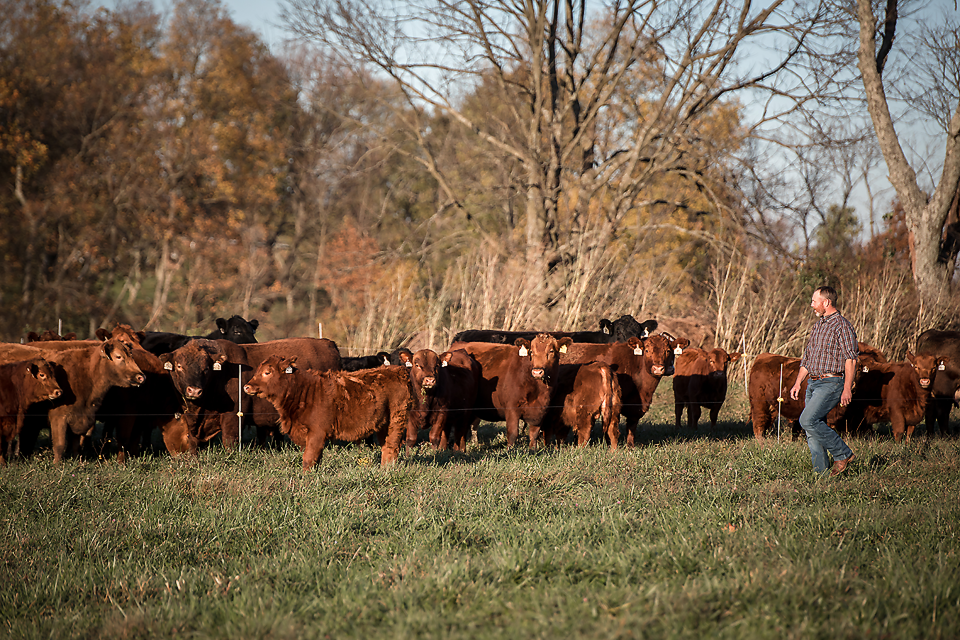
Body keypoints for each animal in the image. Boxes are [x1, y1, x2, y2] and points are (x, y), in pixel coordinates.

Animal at [243, 355, 415, 470]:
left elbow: (309, 458)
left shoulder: (317, 432)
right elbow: (316, 458)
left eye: (267, 372)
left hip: (396, 419)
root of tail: (398, 370)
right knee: (386, 446)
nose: (247, 386)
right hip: (383, 424)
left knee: (392, 447)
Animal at [560, 333, 690, 446]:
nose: (658, 368)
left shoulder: (636, 407)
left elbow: (631, 427)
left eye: (668, 351)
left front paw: (630, 446)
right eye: (647, 350)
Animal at [747, 343, 887, 440]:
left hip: (772, 406)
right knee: (759, 423)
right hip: (759, 403)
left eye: (858, 370)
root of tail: (763, 357)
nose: (852, 385)